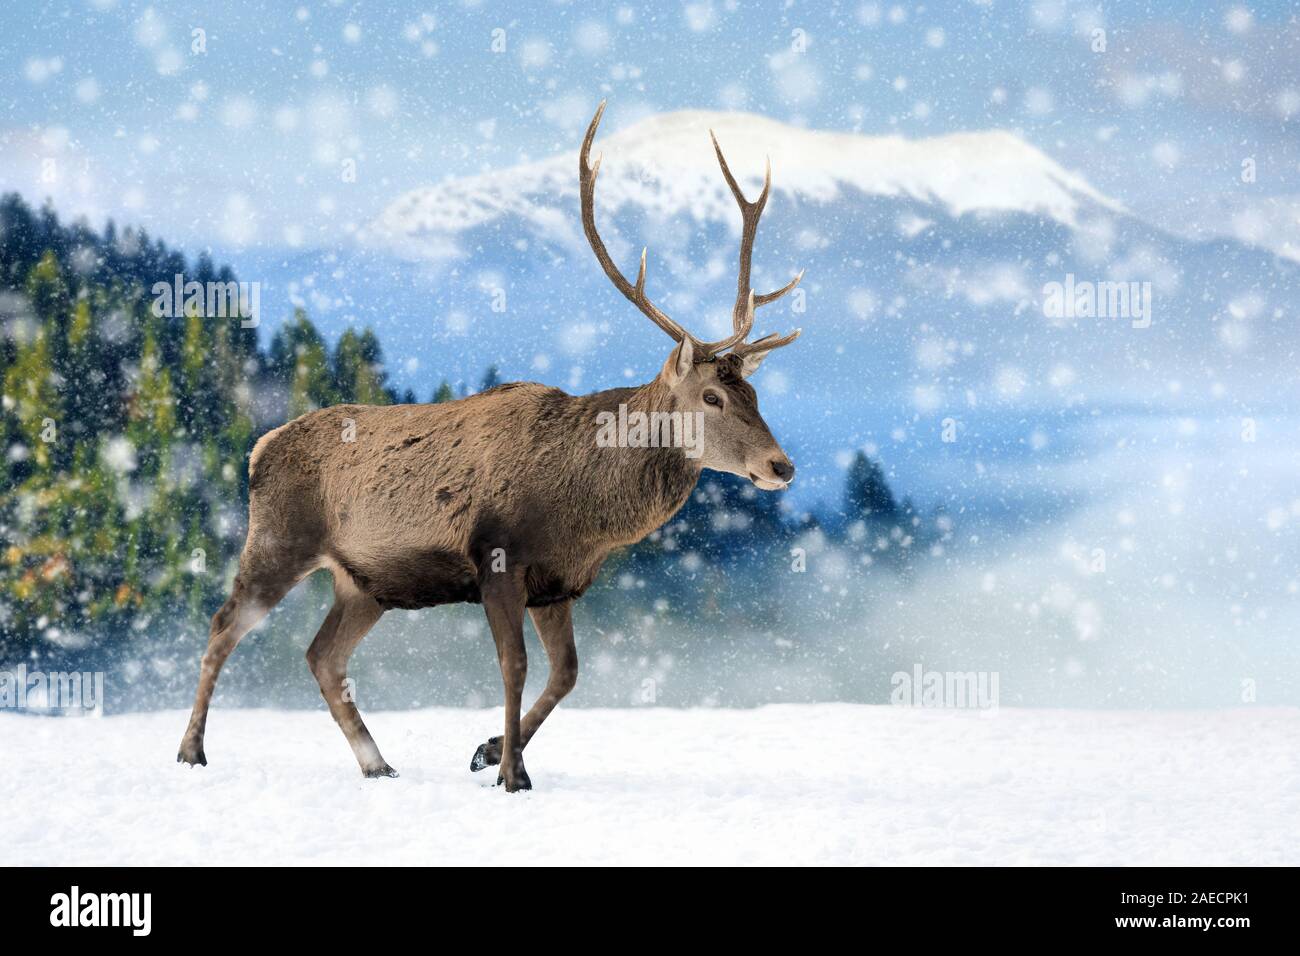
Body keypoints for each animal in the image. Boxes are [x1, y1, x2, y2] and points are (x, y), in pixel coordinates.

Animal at [177, 103, 804, 791]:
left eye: (754, 392)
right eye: (712, 397)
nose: (781, 466)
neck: (581, 512)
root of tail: (259, 447)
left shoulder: (559, 583)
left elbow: (567, 674)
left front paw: (487, 750)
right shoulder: (496, 554)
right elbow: (515, 665)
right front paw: (512, 774)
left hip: (364, 582)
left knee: (321, 654)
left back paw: (378, 763)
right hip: (277, 539)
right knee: (223, 626)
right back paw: (191, 751)